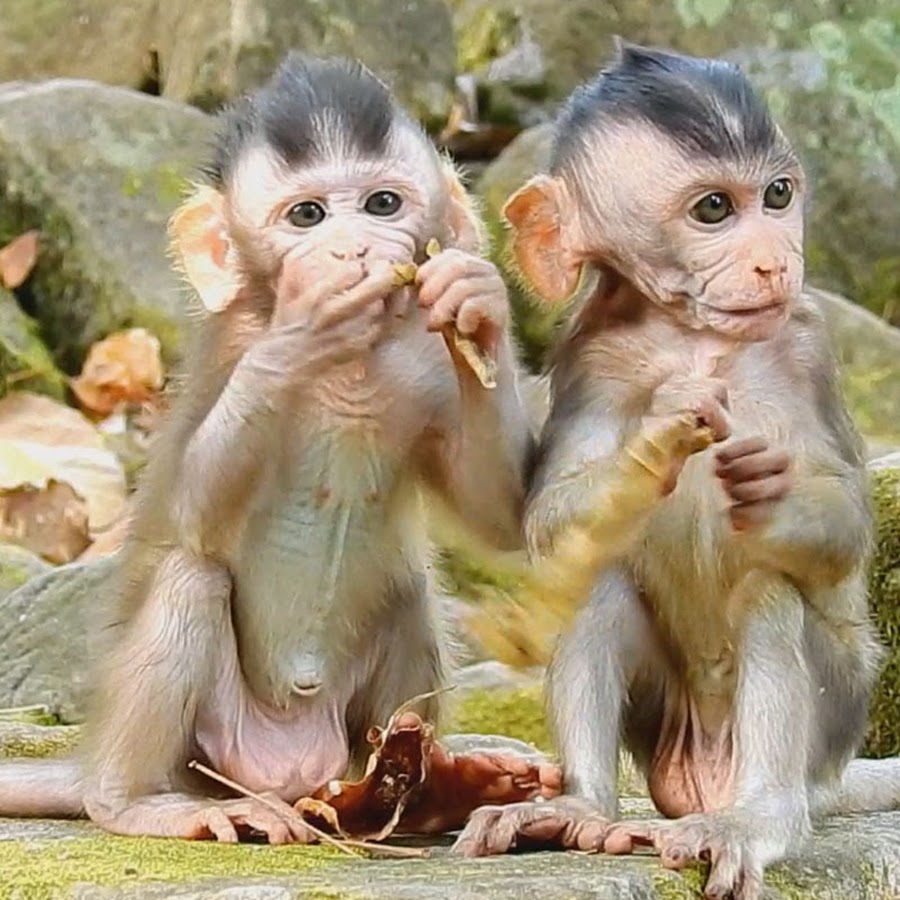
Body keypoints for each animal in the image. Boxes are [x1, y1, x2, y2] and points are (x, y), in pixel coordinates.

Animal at [0, 54, 575, 842]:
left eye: (382, 204)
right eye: (308, 216)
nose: (354, 247)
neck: (350, 365)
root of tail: (295, 773)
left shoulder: (426, 359)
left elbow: (501, 511)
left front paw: (478, 303)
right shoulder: (237, 343)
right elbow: (191, 513)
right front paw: (302, 328)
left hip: (343, 745)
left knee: (407, 595)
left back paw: (433, 785)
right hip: (209, 757)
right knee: (192, 579)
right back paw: (134, 803)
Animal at [451, 42, 900, 899]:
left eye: (778, 194)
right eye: (714, 210)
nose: (775, 262)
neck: (694, 336)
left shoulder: (807, 344)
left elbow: (843, 525)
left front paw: (776, 493)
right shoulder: (590, 354)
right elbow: (549, 517)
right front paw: (657, 432)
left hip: (834, 716)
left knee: (768, 592)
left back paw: (754, 821)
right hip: (663, 718)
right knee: (595, 580)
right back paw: (579, 806)